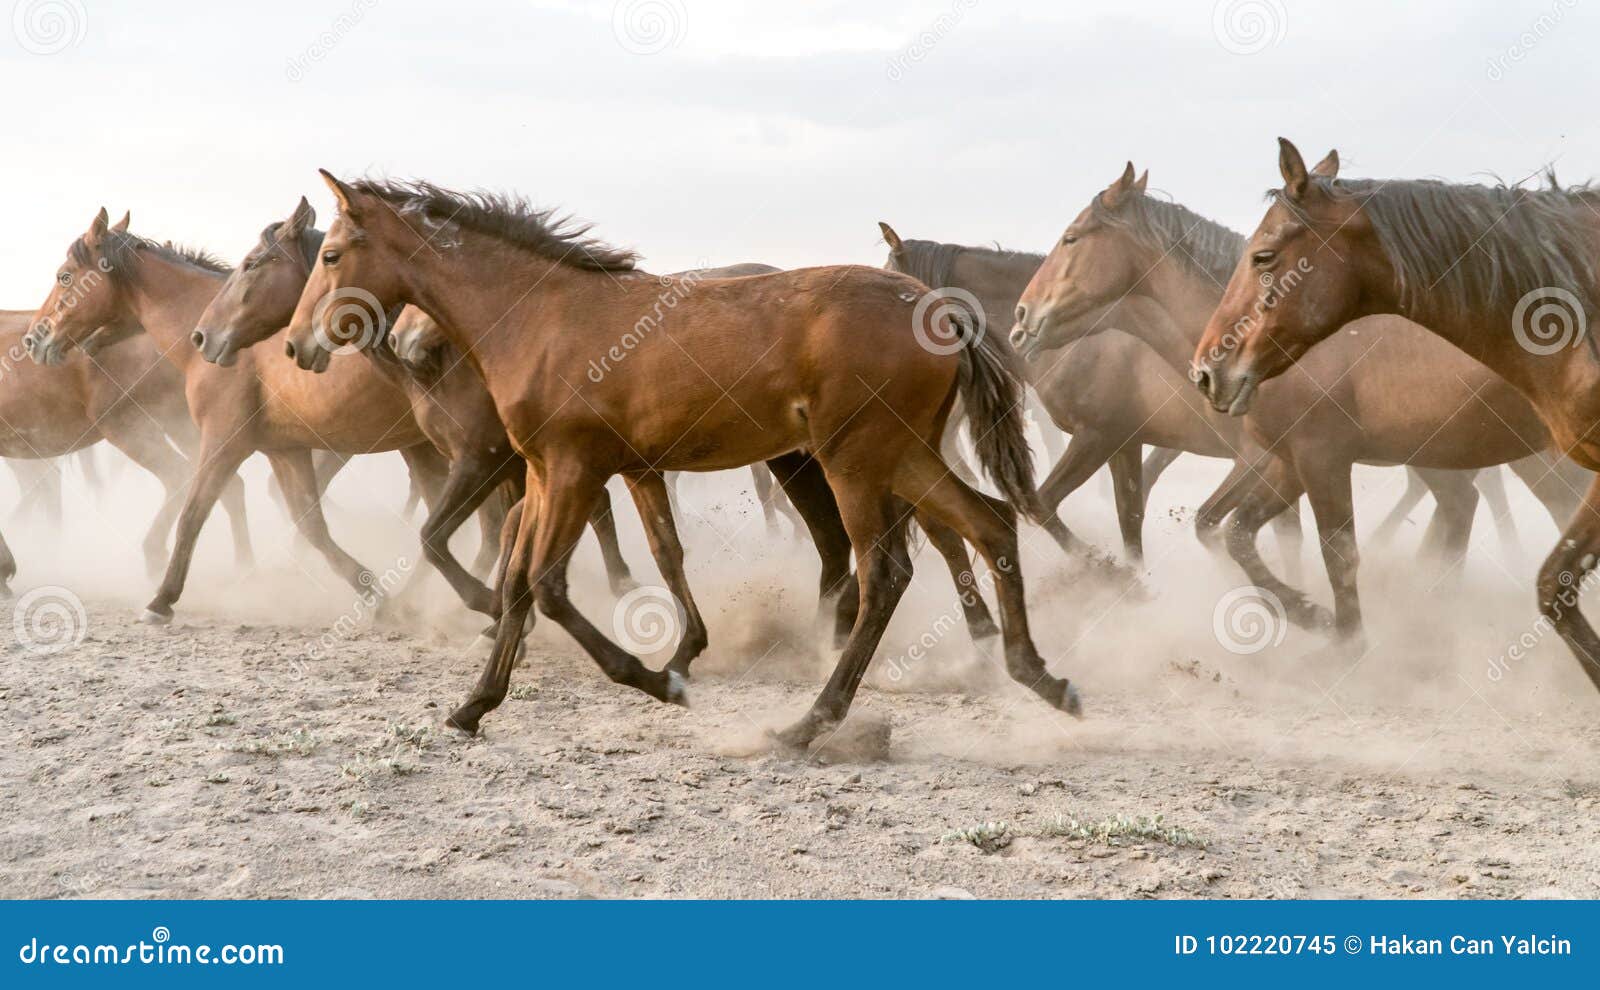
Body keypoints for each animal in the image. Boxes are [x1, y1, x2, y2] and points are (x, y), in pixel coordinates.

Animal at [25, 208, 452, 625]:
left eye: (65, 276)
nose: (33, 338)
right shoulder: (285, 450)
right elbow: (310, 523)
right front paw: (370, 591)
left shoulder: (222, 442)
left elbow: (193, 513)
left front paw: (162, 599)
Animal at [281, 172, 1079, 746]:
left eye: (331, 255)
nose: (295, 346)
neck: (543, 319)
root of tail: (938, 307)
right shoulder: (547, 472)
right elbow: (518, 584)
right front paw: (474, 704)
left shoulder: (574, 469)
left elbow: (547, 586)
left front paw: (658, 679)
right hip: (902, 455)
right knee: (990, 523)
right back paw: (1042, 678)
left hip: (855, 461)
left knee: (885, 572)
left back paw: (808, 723)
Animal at [1189, 141, 1600, 668]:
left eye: (1263, 256)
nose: (1205, 370)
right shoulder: (1294, 459)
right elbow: (1242, 532)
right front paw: (1313, 615)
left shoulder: (1320, 456)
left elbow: (1338, 553)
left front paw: (1345, 642)